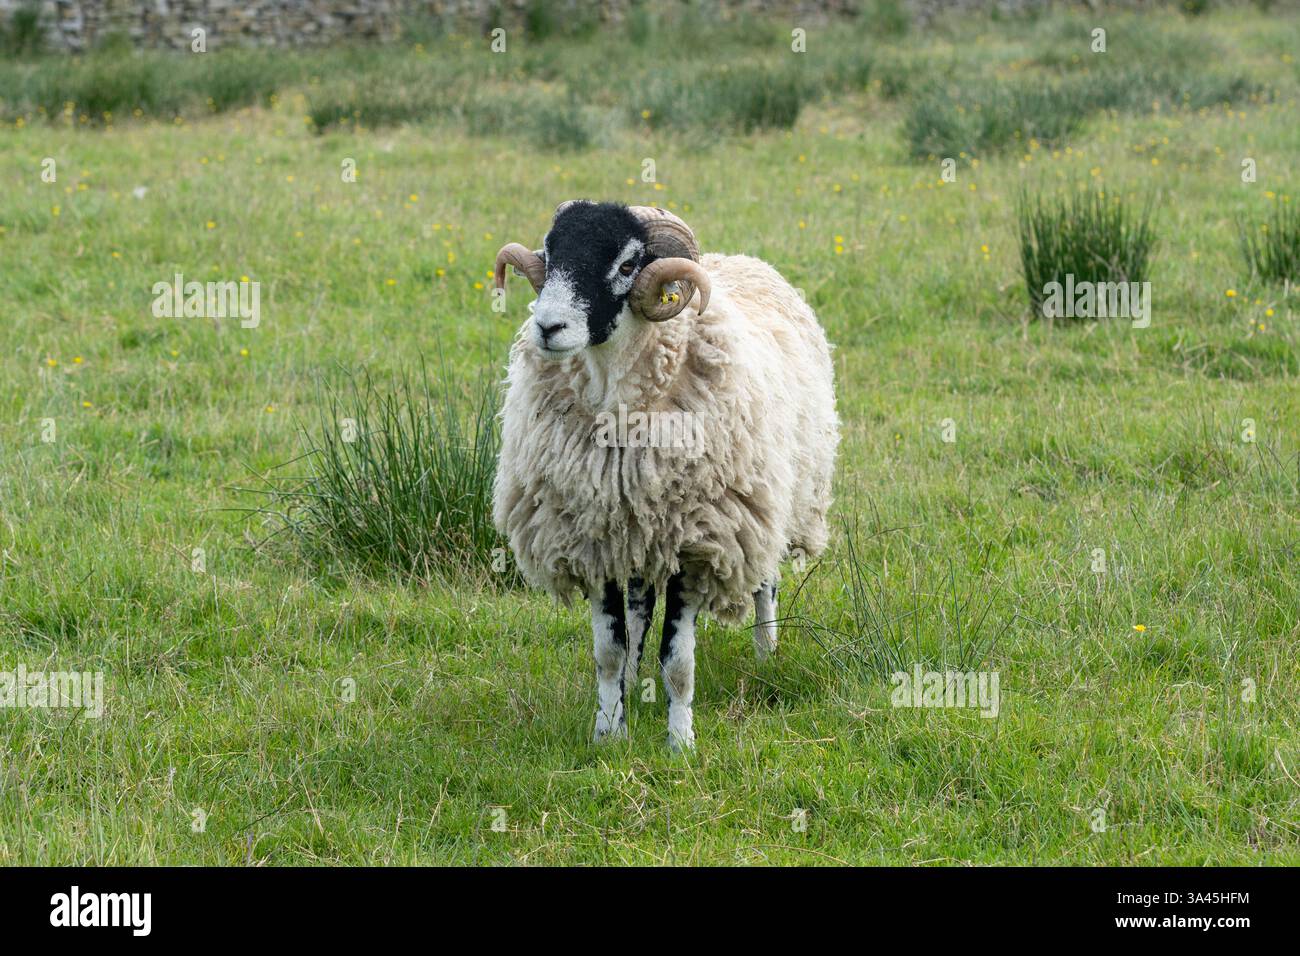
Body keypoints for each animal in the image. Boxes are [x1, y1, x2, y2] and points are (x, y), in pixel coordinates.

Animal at [492, 201, 838, 750]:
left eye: (628, 264)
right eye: (549, 252)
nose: (548, 327)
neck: (617, 403)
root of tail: (742, 259)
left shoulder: (699, 543)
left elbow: (678, 660)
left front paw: (680, 743)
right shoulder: (595, 542)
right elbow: (609, 652)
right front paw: (609, 732)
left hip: (774, 498)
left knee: (766, 581)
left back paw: (767, 653)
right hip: (636, 534)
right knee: (639, 610)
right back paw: (636, 682)